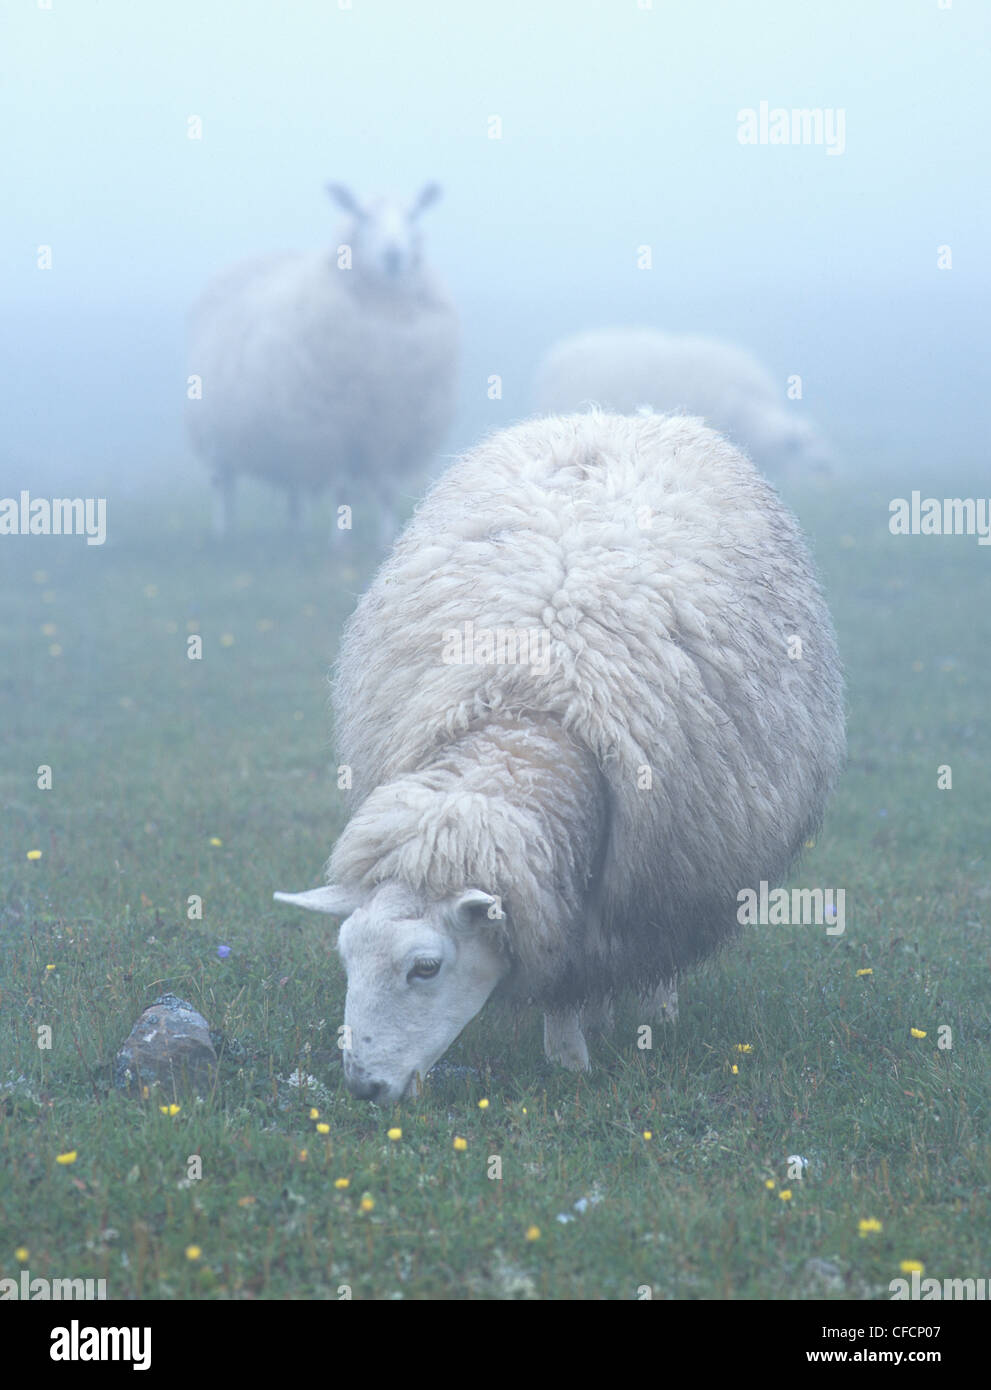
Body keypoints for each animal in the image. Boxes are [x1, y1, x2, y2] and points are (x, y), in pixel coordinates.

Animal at [186, 182, 459, 538]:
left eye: (412, 215)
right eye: (361, 215)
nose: (394, 255)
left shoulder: (393, 428)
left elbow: (386, 491)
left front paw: (386, 537)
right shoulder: (335, 428)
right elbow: (342, 490)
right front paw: (339, 541)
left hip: (291, 435)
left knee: (293, 485)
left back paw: (296, 530)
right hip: (215, 428)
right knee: (223, 484)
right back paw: (223, 532)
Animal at [275, 410, 845, 1102]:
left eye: (425, 968)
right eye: (345, 955)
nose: (363, 1087)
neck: (528, 725)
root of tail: (622, 414)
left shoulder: (633, 882)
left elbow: (579, 979)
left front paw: (570, 1064)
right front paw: (573, 1042)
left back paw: (657, 1010)